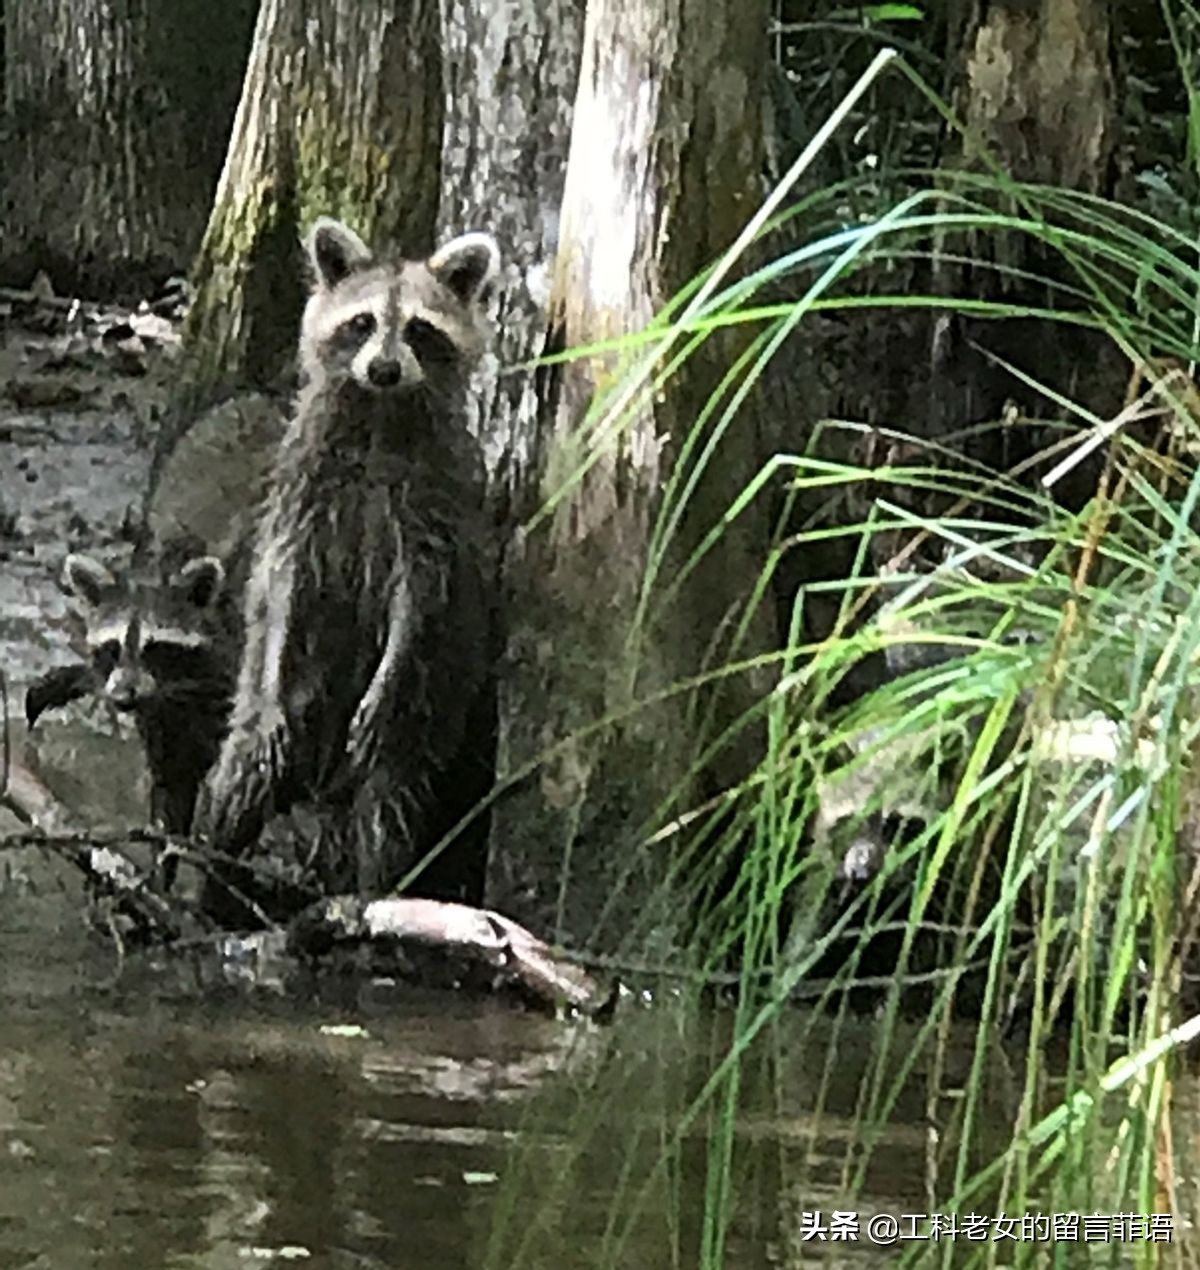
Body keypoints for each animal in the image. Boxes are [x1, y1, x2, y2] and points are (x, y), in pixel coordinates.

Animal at [62, 549, 238, 834]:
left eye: (153, 648)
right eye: (113, 648)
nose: (122, 698)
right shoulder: (158, 718)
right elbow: (172, 774)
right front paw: (166, 827)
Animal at [196, 216, 498, 901]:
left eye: (418, 329)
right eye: (362, 322)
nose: (384, 368)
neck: (381, 412)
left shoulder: (436, 500)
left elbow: (423, 595)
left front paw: (395, 659)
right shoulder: (303, 484)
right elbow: (284, 576)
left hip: (417, 725)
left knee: (387, 805)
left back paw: (372, 892)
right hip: (281, 703)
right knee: (241, 772)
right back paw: (206, 872)